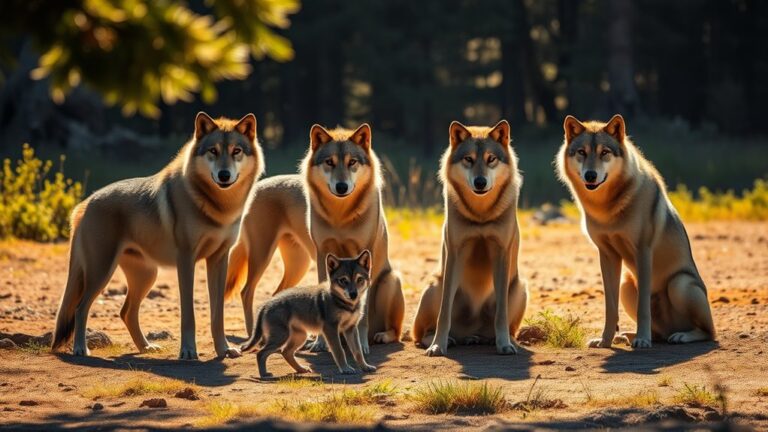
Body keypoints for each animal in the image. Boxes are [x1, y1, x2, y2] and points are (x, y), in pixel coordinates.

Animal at [51, 112, 263, 359]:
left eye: (236, 151)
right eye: (213, 150)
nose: (224, 175)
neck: (219, 207)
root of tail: (83, 205)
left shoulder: (220, 259)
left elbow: (217, 315)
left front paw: (224, 349)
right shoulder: (186, 260)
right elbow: (188, 314)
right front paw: (188, 351)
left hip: (146, 276)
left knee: (126, 312)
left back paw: (146, 347)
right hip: (101, 274)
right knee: (80, 308)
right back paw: (80, 349)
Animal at [226, 124, 405, 354]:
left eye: (352, 162)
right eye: (330, 162)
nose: (341, 187)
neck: (341, 215)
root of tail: (257, 185)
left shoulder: (365, 256)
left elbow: (362, 315)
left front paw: (361, 345)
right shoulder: (323, 256)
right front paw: (320, 343)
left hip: (390, 280)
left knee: (395, 332)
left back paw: (379, 336)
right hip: (265, 256)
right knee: (247, 291)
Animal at [241, 251, 376, 378]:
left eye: (359, 279)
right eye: (343, 280)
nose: (353, 294)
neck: (345, 305)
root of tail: (266, 304)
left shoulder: (350, 329)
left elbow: (358, 352)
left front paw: (365, 367)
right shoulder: (331, 329)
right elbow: (339, 351)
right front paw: (345, 368)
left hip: (300, 337)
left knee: (285, 352)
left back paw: (301, 369)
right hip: (282, 337)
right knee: (261, 353)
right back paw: (264, 374)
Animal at [412, 120, 528, 356]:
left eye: (491, 159)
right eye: (469, 159)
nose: (480, 182)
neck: (480, 215)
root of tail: (470, 330)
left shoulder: (501, 254)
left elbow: (501, 314)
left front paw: (504, 345)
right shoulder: (455, 254)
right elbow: (444, 313)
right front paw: (438, 344)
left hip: (520, 289)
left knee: (506, 328)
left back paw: (494, 340)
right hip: (433, 287)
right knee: (419, 335)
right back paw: (451, 340)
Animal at [556, 114, 716, 348]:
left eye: (604, 152)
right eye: (582, 152)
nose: (591, 175)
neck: (606, 207)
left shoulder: (643, 251)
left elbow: (643, 309)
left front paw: (642, 339)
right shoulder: (607, 255)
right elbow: (610, 308)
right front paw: (605, 341)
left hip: (679, 284)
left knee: (708, 332)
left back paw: (678, 336)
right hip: (627, 286)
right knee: (660, 334)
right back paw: (627, 336)